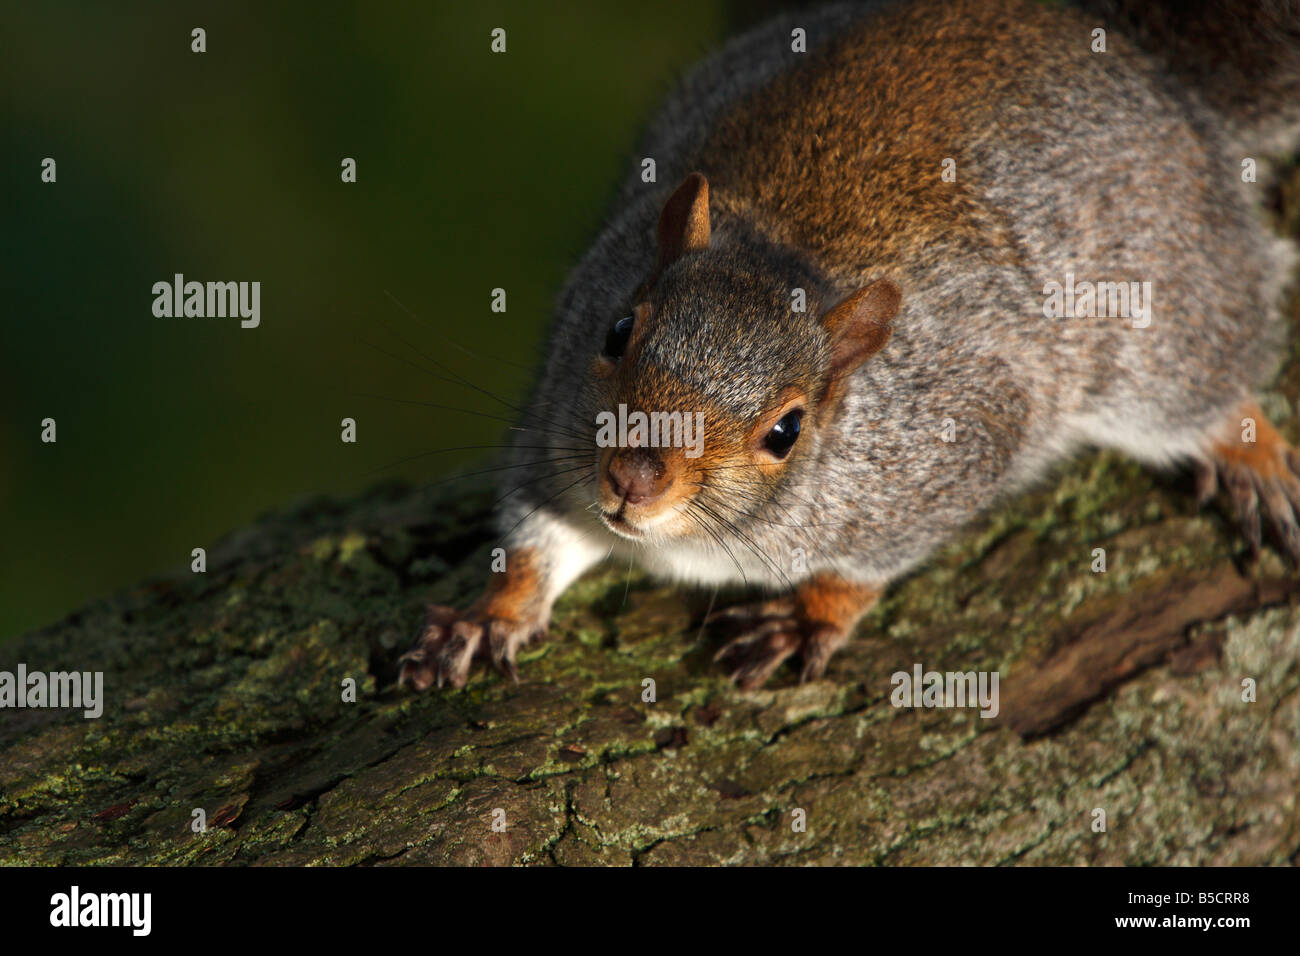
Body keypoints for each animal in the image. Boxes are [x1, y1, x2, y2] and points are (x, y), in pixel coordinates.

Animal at [399, 0, 1300, 691]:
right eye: (618, 332)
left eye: (786, 430)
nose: (633, 476)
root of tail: (1156, 74)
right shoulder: (553, 439)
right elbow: (536, 534)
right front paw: (490, 613)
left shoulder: (950, 452)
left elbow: (867, 566)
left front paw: (809, 615)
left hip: (1163, 329)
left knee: (1211, 371)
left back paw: (1247, 448)